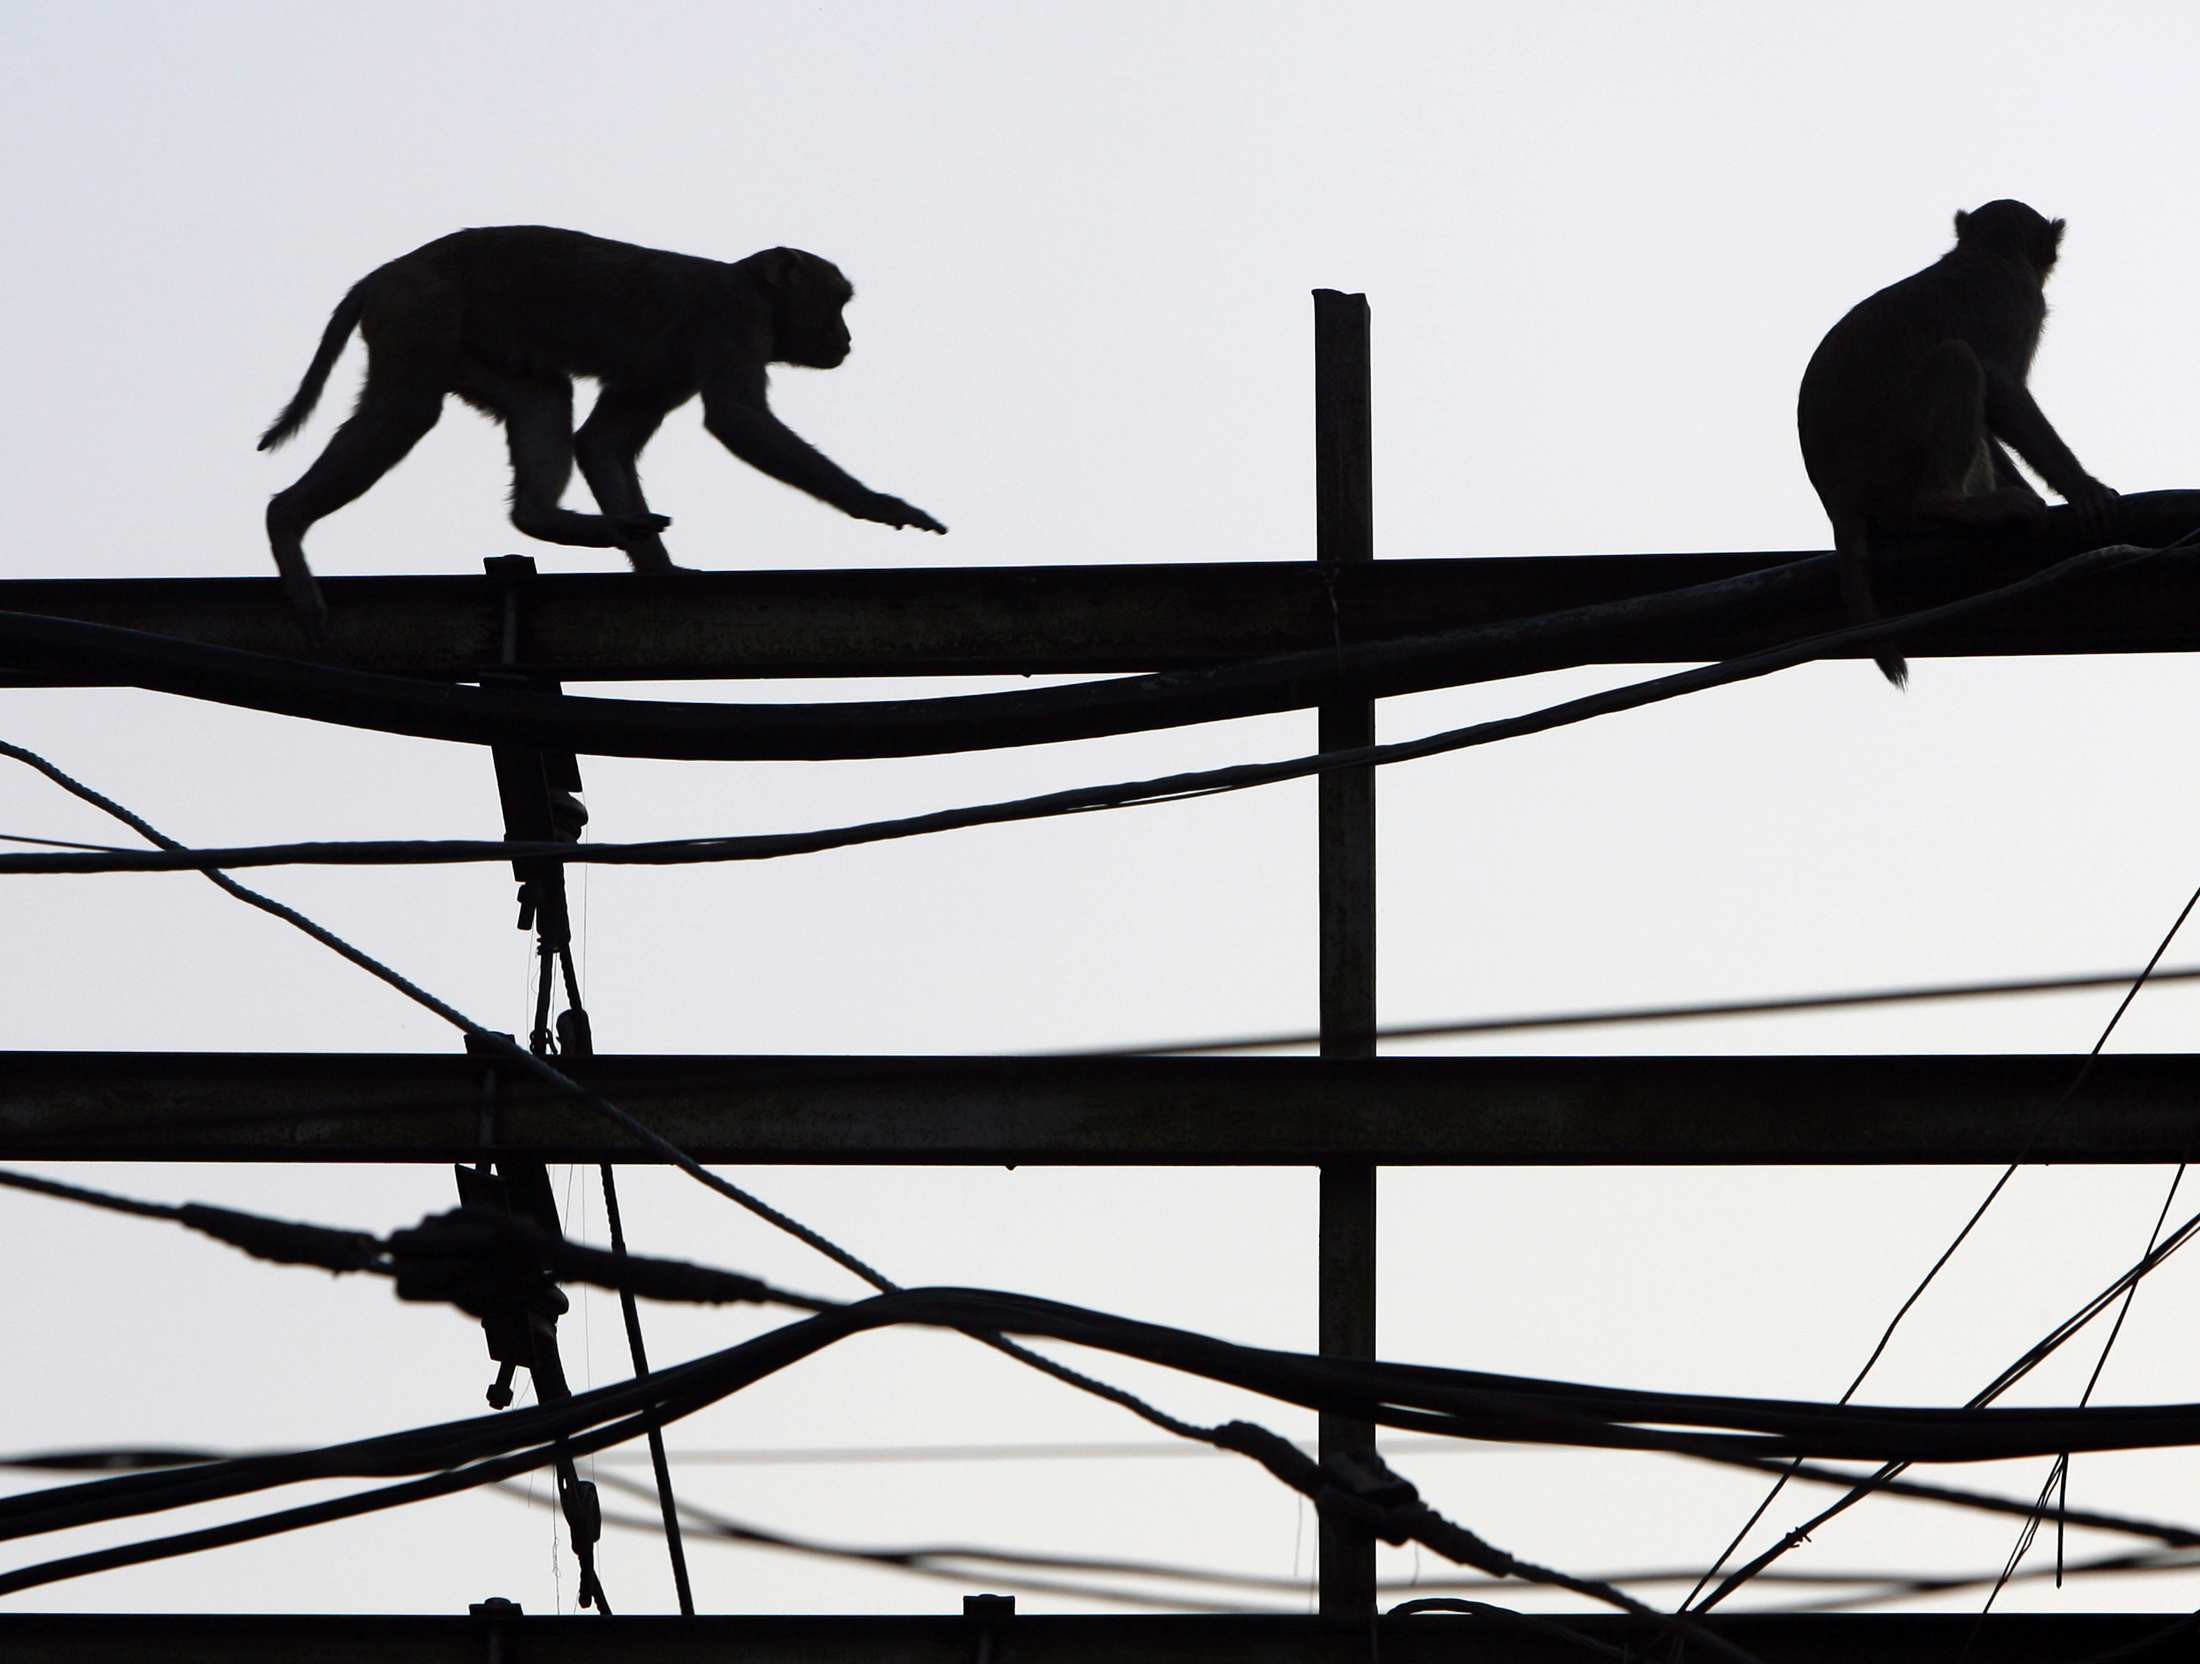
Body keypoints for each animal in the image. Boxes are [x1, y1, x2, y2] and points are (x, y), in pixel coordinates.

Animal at [259, 226, 947, 635]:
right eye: (836, 304)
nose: (846, 339)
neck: (751, 287)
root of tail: (385, 274)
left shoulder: (672, 367)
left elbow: (602, 442)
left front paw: (659, 570)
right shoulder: (732, 323)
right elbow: (738, 421)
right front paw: (878, 504)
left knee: (540, 396)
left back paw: (547, 518)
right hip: (421, 313)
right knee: (404, 410)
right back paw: (285, 521)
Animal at [1796, 199, 2117, 688]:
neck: (1988, 252)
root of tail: (1837, 501)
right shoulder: (2017, 301)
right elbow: (2000, 385)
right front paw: (2083, 487)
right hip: (1891, 462)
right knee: (1957, 360)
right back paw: (1949, 505)